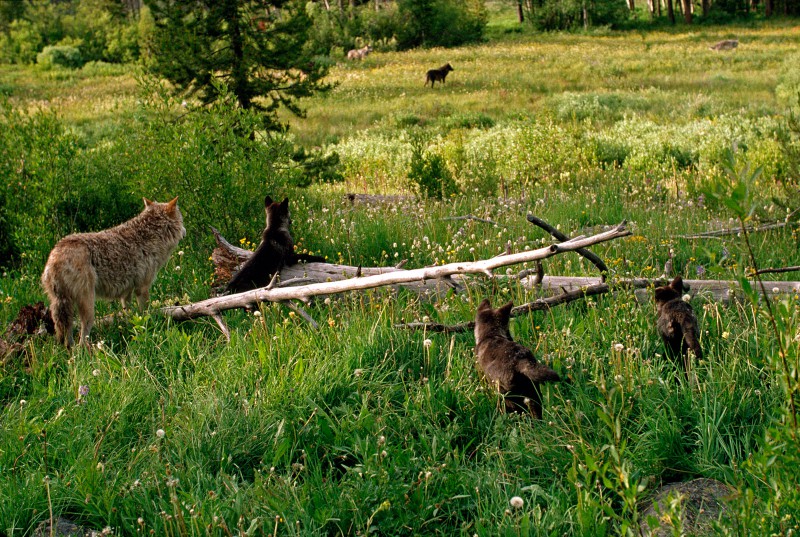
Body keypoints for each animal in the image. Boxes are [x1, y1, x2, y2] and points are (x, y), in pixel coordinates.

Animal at [42, 197, 185, 348]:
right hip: (88, 305)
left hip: (61, 307)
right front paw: (149, 327)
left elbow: (130, 315)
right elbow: (145, 312)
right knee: (83, 337)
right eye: (182, 219)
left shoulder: (127, 293)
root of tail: (55, 256)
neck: (151, 235)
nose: (185, 231)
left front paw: (131, 329)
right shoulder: (142, 288)